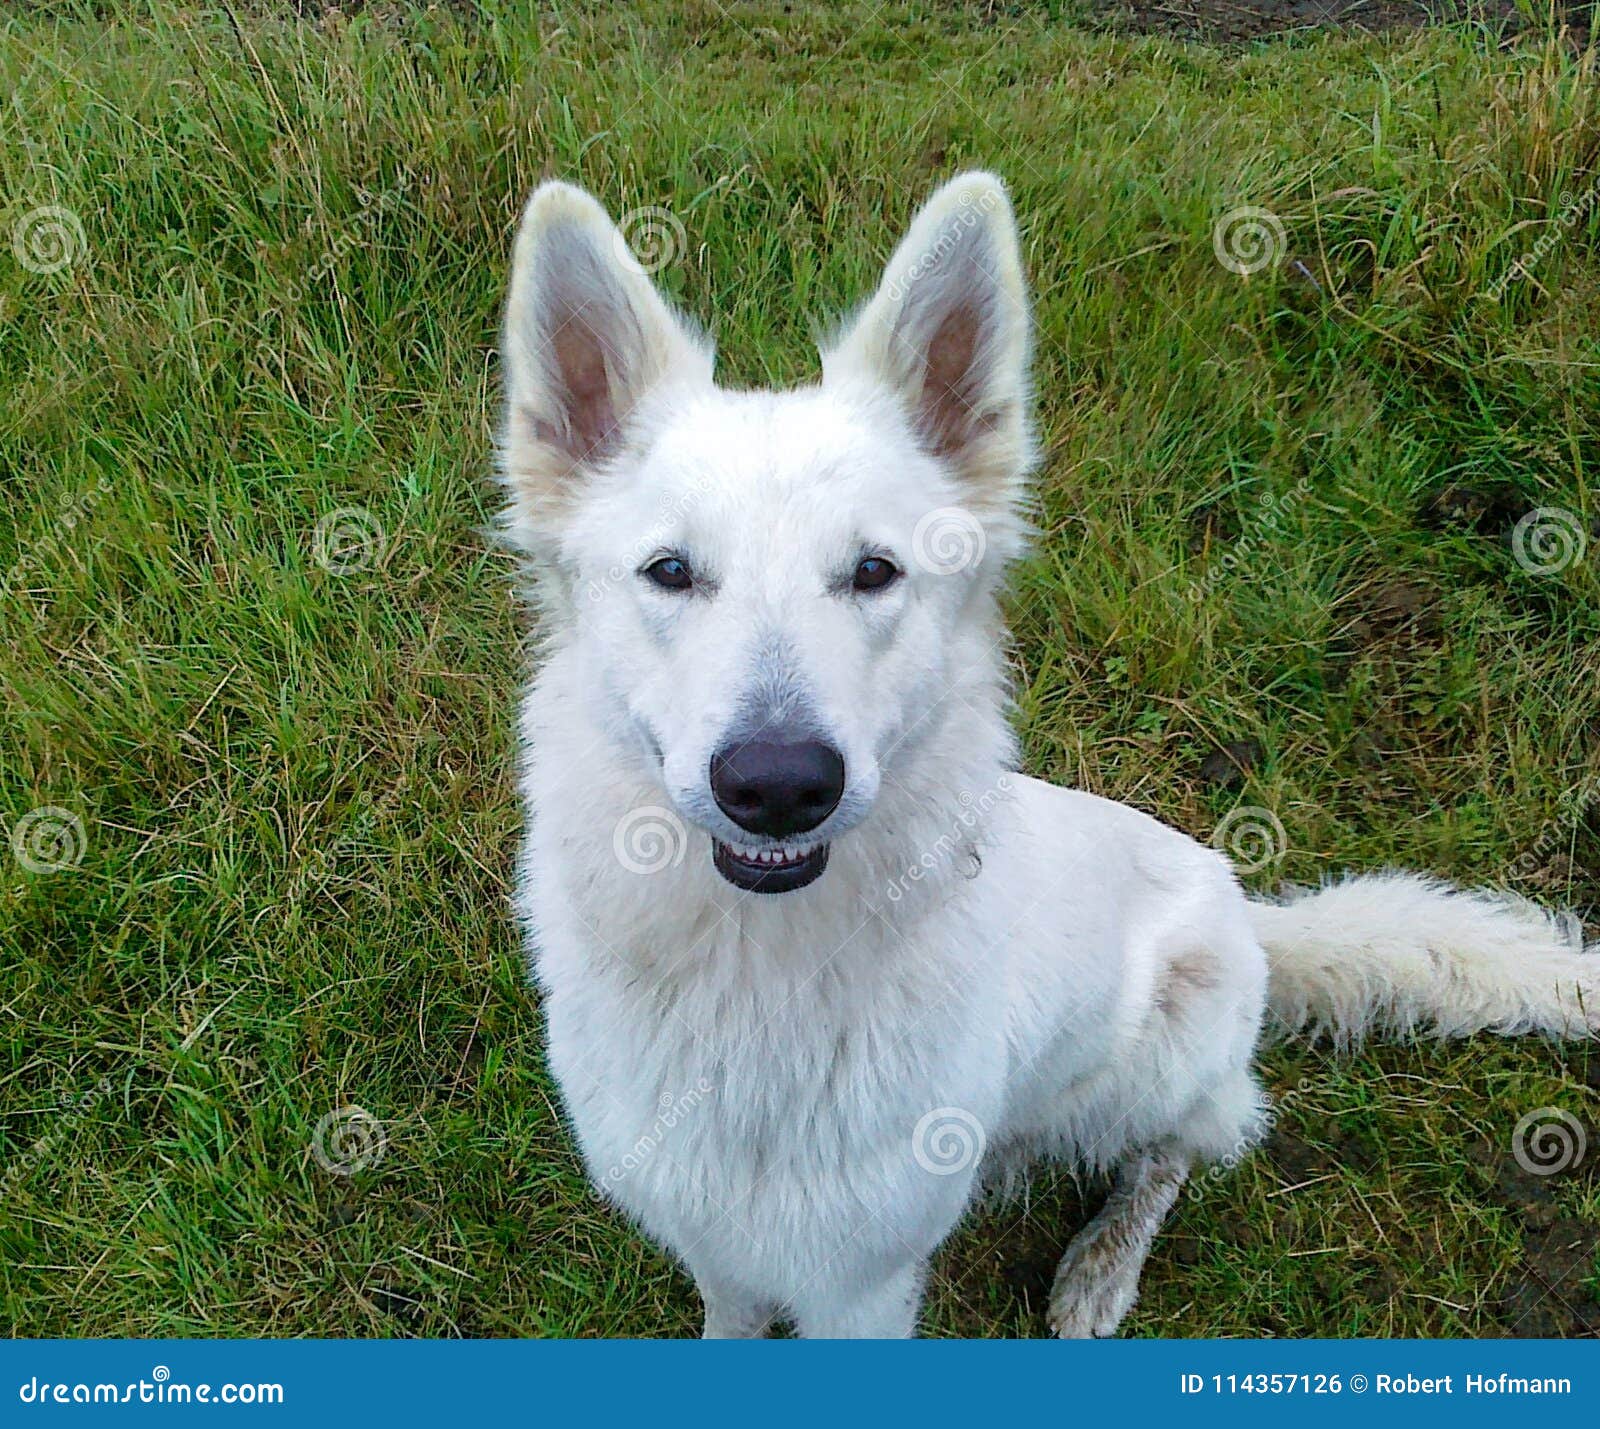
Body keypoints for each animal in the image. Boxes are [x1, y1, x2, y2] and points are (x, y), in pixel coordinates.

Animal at [497, 170, 1598, 1338]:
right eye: (670, 571)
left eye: (874, 571)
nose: (779, 785)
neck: (759, 974)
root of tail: (1251, 915)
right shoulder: (714, 1243)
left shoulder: (864, 1285)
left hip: (1164, 1055)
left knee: (1175, 1151)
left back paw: (1101, 1266)